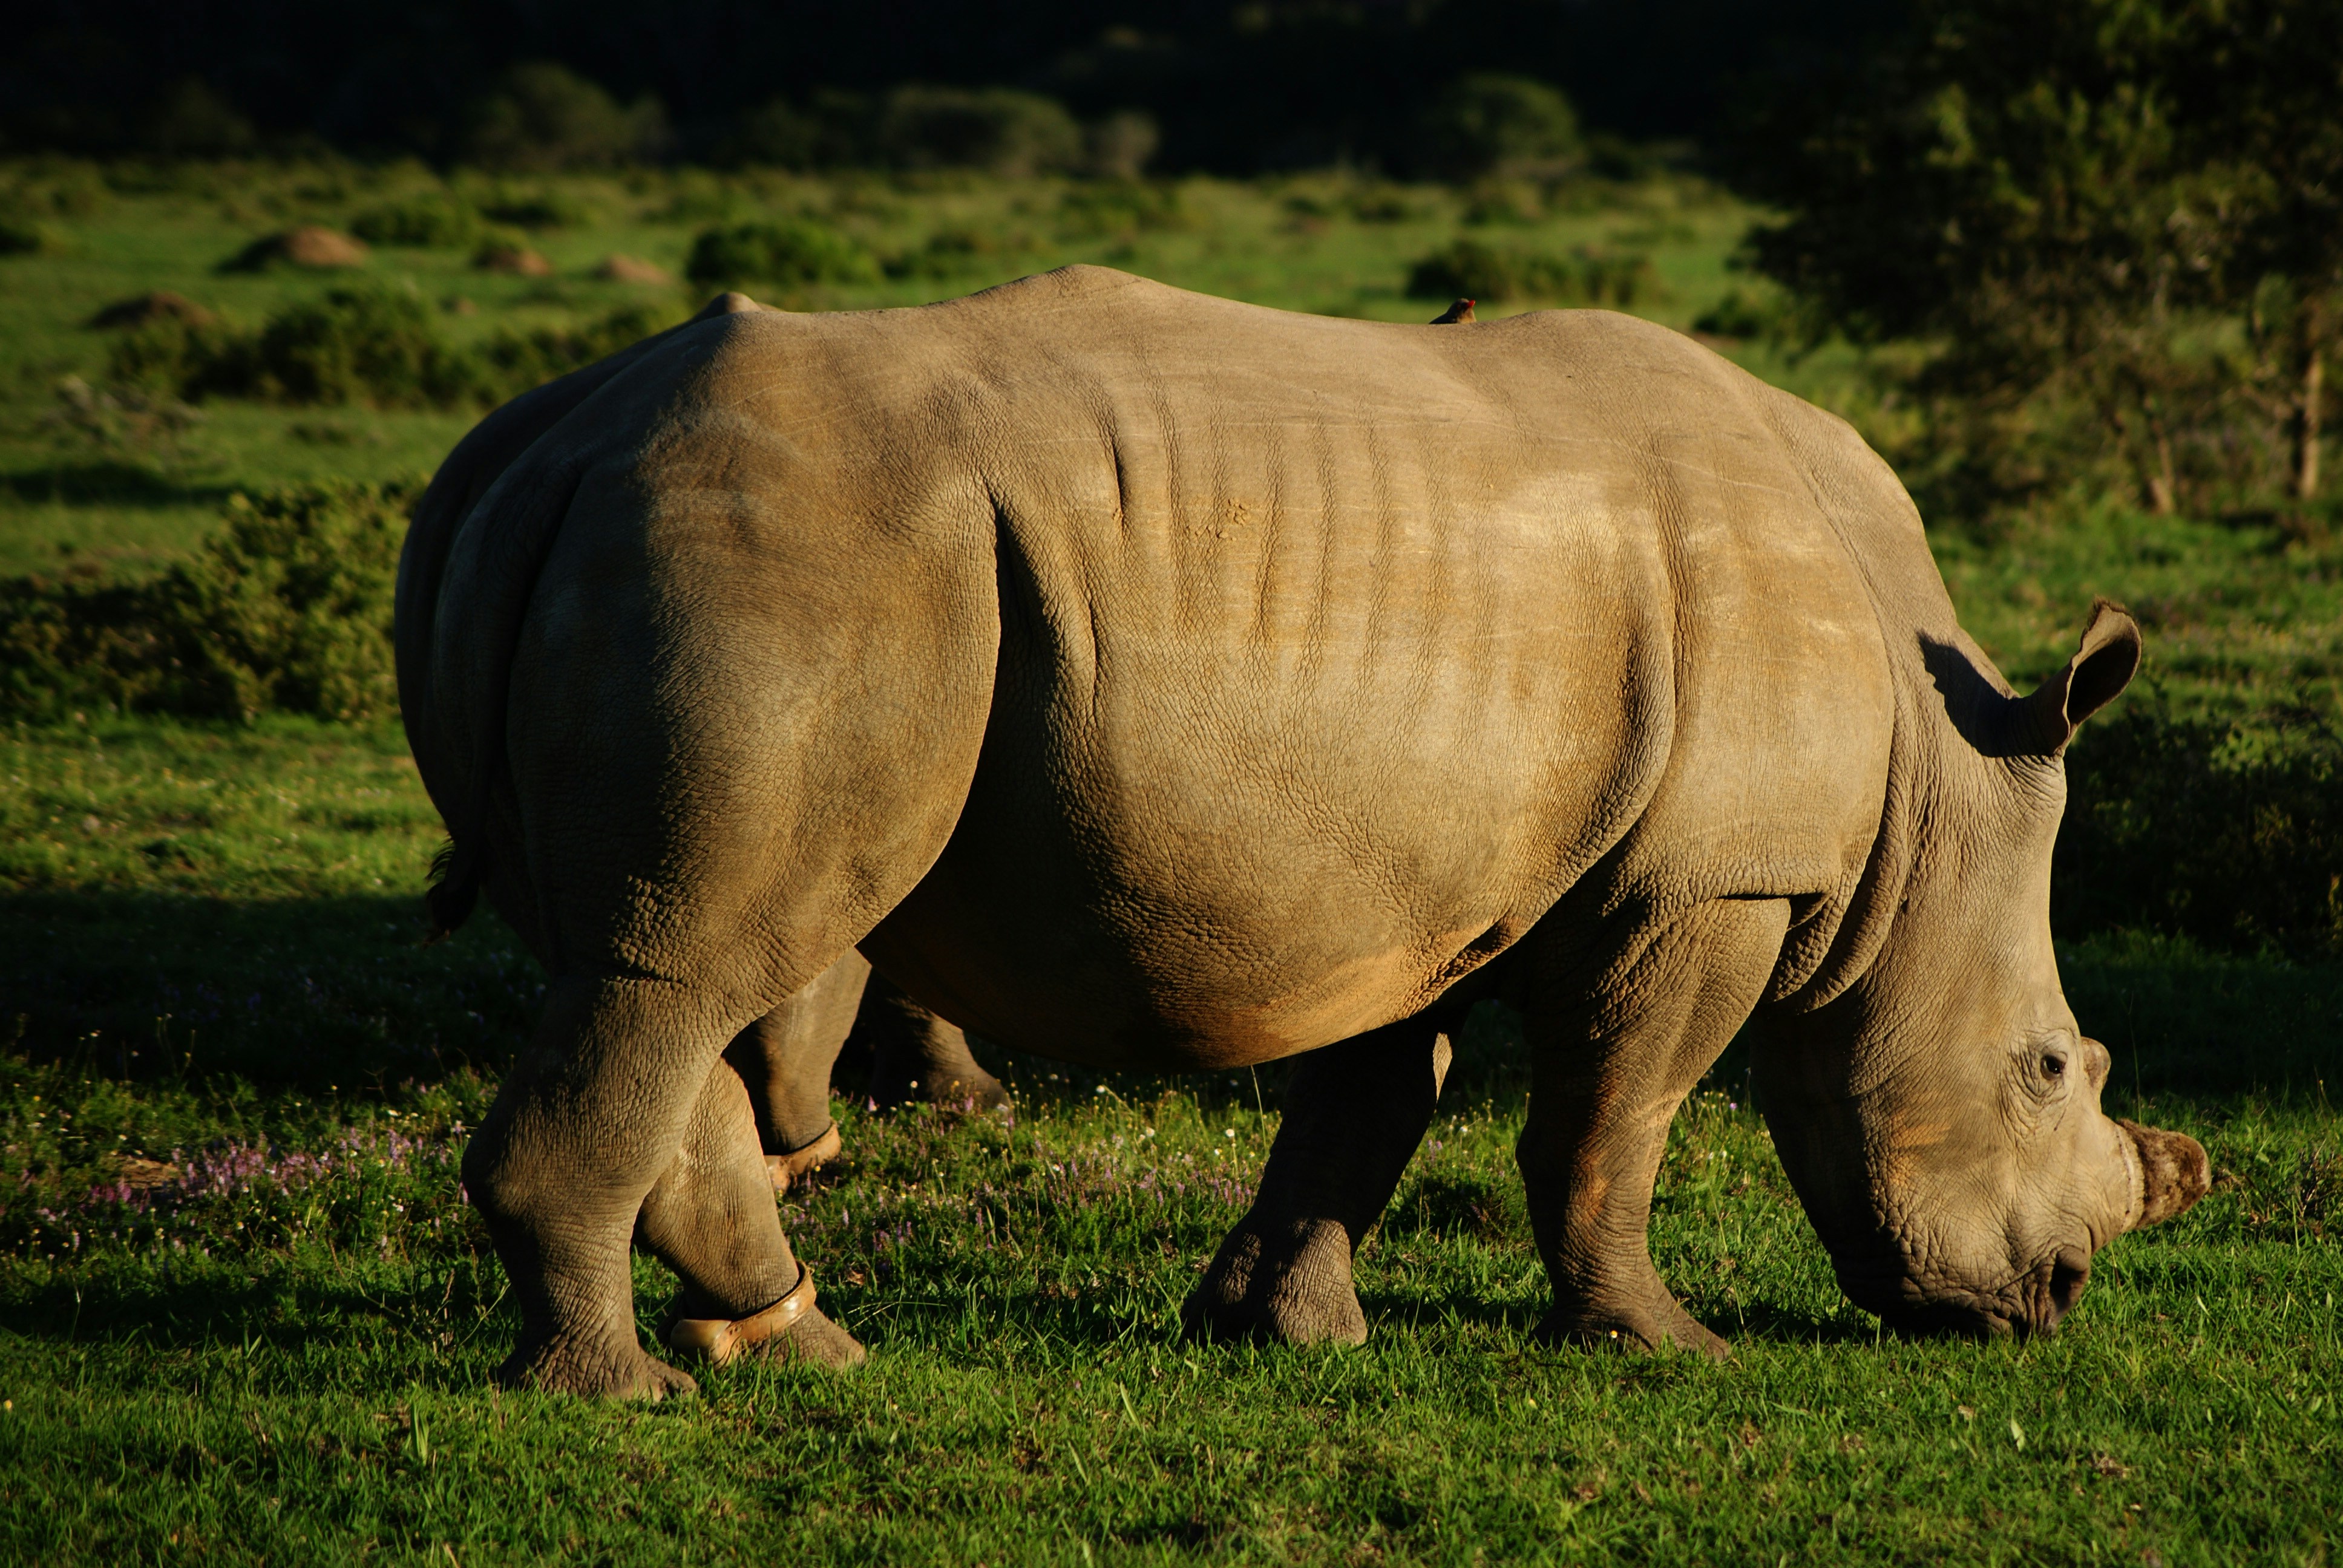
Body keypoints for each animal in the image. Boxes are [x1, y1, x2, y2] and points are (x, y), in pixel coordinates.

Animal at [396, 267, 2209, 1397]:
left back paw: (798, 1349)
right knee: (687, 962)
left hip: (705, 551)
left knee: (655, 962)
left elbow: (1374, 1097)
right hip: (791, 565)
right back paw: (612, 1389)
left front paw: (1282, 1333)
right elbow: (1617, 1114)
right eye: (2053, 1068)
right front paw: (1662, 1347)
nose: (2054, 1300)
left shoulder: (1428, 875)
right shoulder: (1714, 881)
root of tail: (545, 446)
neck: (1931, 790)